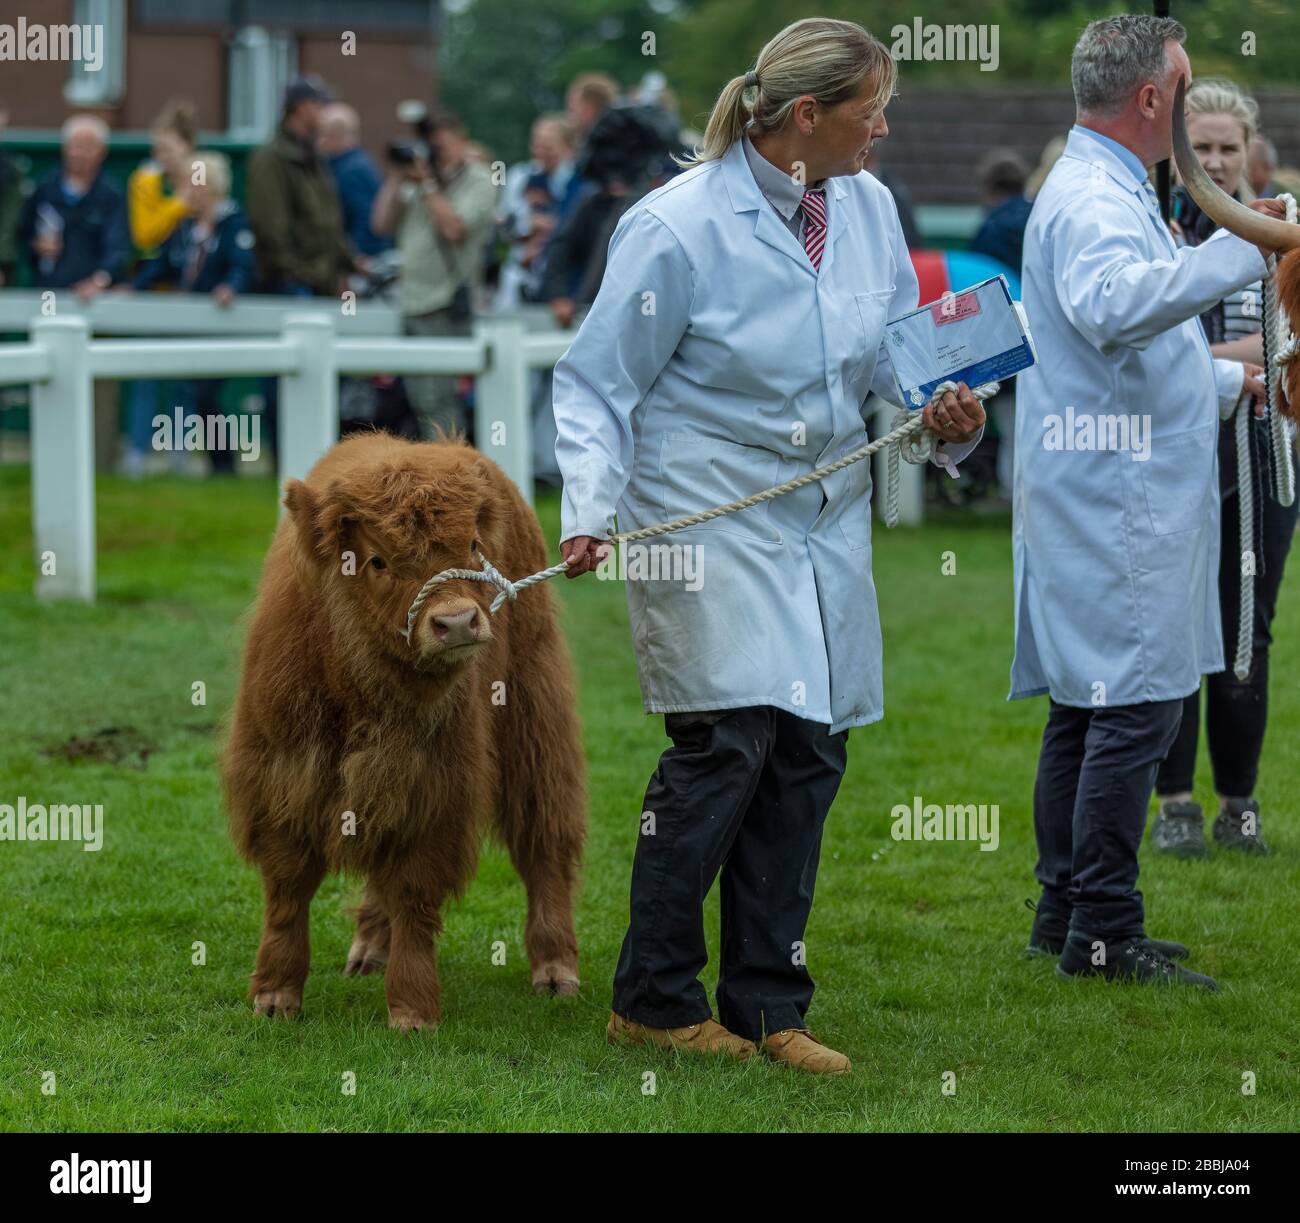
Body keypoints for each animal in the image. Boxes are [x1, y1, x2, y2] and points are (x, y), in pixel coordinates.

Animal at [220, 432, 586, 1031]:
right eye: (376, 560)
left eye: (473, 547)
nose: (457, 623)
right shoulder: (283, 777)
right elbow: (288, 889)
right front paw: (275, 994)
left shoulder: (435, 788)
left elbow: (414, 894)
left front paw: (413, 1009)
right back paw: (369, 947)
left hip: (536, 714)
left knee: (544, 838)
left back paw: (555, 969)